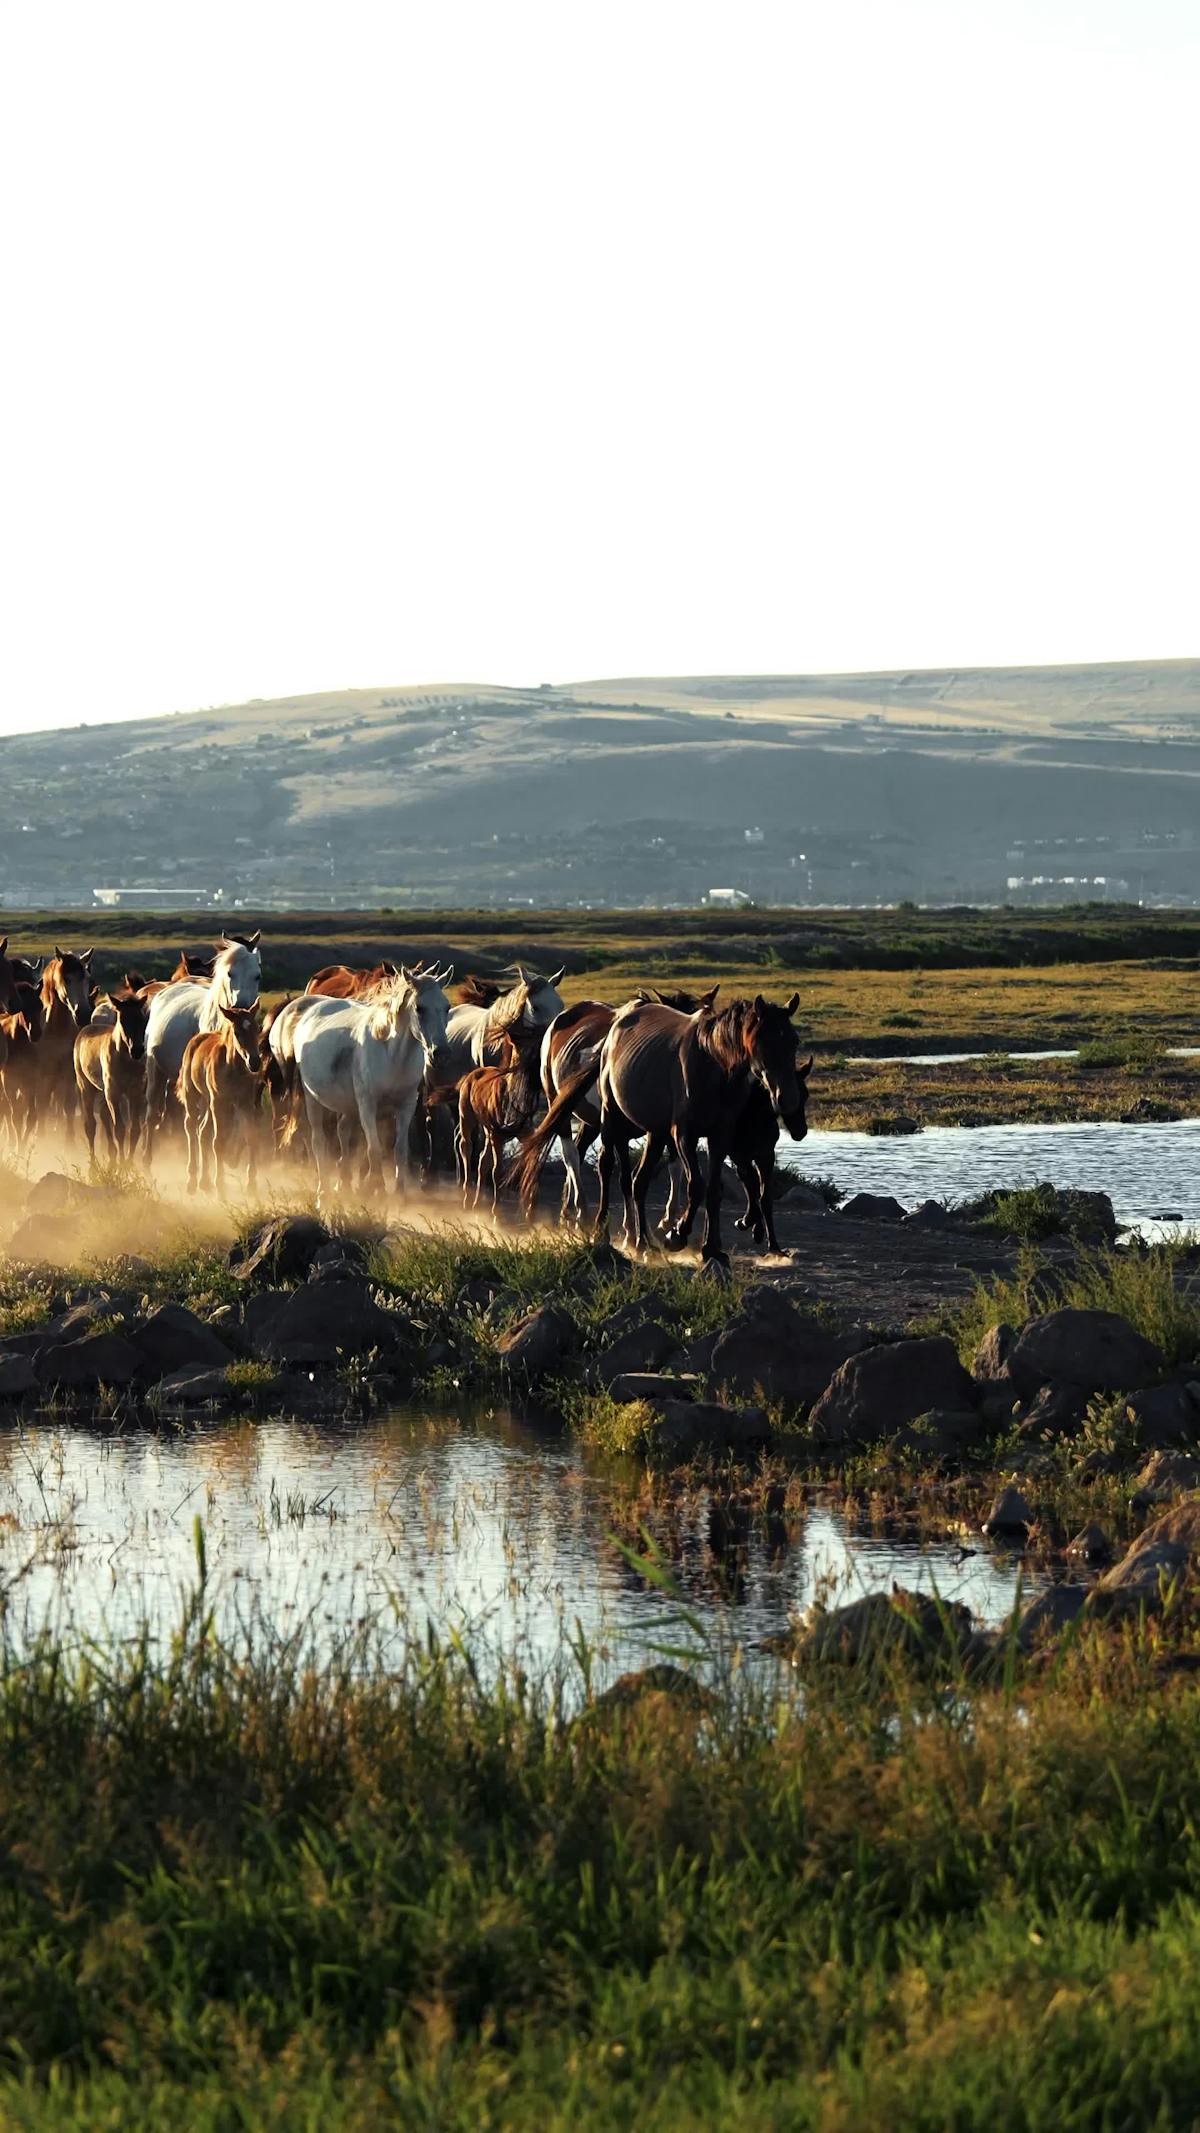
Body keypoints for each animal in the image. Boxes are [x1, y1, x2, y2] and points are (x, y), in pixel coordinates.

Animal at [74, 991, 151, 1162]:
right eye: (122, 1020)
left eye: (143, 1020)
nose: (137, 1050)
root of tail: (85, 1029)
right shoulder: (114, 1093)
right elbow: (119, 1129)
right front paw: (122, 1164)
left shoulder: (135, 1093)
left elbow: (134, 1129)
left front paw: (128, 1162)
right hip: (86, 1086)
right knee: (90, 1124)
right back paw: (94, 1163)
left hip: (104, 1091)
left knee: (103, 1116)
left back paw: (111, 1155)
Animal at [178, 1005, 265, 1196]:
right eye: (237, 1032)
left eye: (258, 1029)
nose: (255, 1062)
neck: (233, 1068)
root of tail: (196, 1038)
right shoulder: (219, 1102)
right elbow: (218, 1142)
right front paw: (221, 1186)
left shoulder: (246, 1103)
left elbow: (251, 1137)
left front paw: (251, 1185)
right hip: (193, 1094)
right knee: (191, 1126)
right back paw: (192, 1180)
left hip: (208, 1101)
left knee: (202, 1131)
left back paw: (204, 1181)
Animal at [290, 969, 452, 1198]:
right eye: (419, 1008)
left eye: (447, 1007)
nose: (441, 1053)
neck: (392, 1054)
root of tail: (312, 1009)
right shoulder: (367, 1106)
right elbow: (373, 1148)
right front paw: (377, 1188)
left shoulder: (406, 1105)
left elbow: (400, 1149)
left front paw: (399, 1192)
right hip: (312, 1098)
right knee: (318, 1140)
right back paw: (324, 1190)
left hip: (348, 1106)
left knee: (342, 1131)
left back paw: (344, 1183)